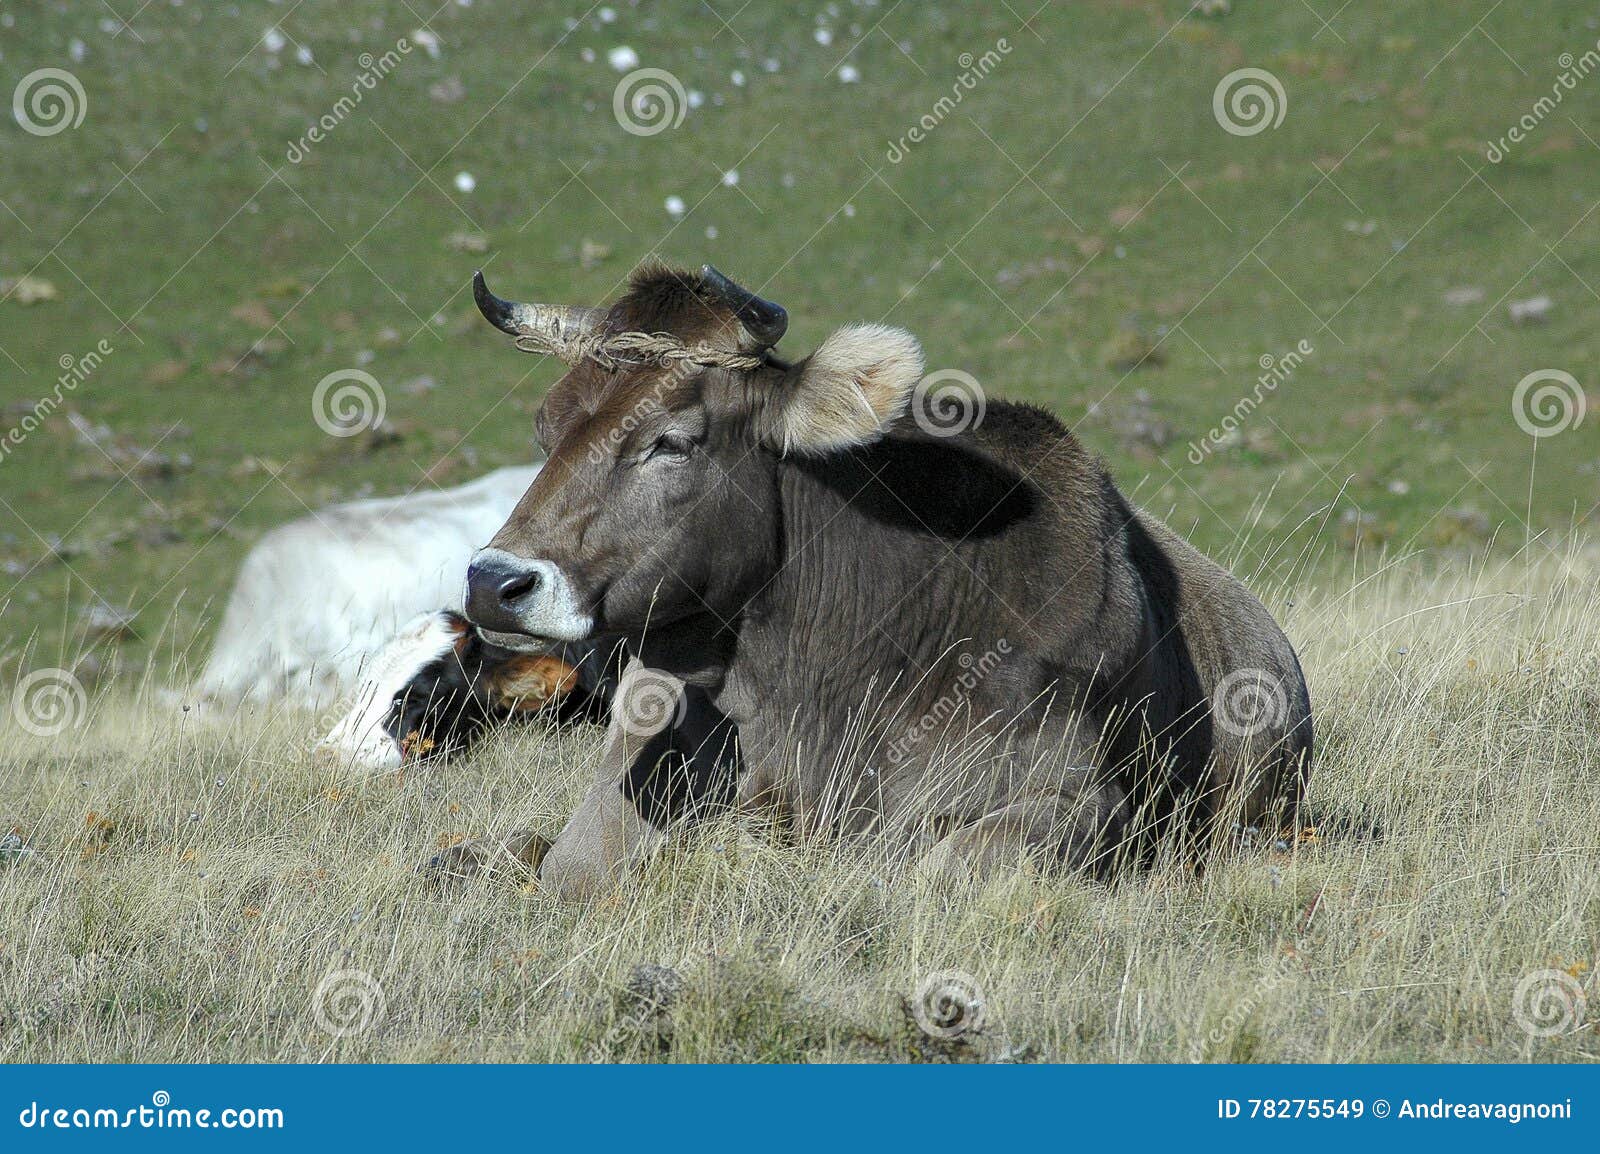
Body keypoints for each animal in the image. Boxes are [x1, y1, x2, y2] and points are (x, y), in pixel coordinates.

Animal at [410, 262, 1312, 899]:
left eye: (673, 439)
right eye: (546, 427)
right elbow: (524, 863)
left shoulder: (1083, 805)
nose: (493, 582)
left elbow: (936, 868)